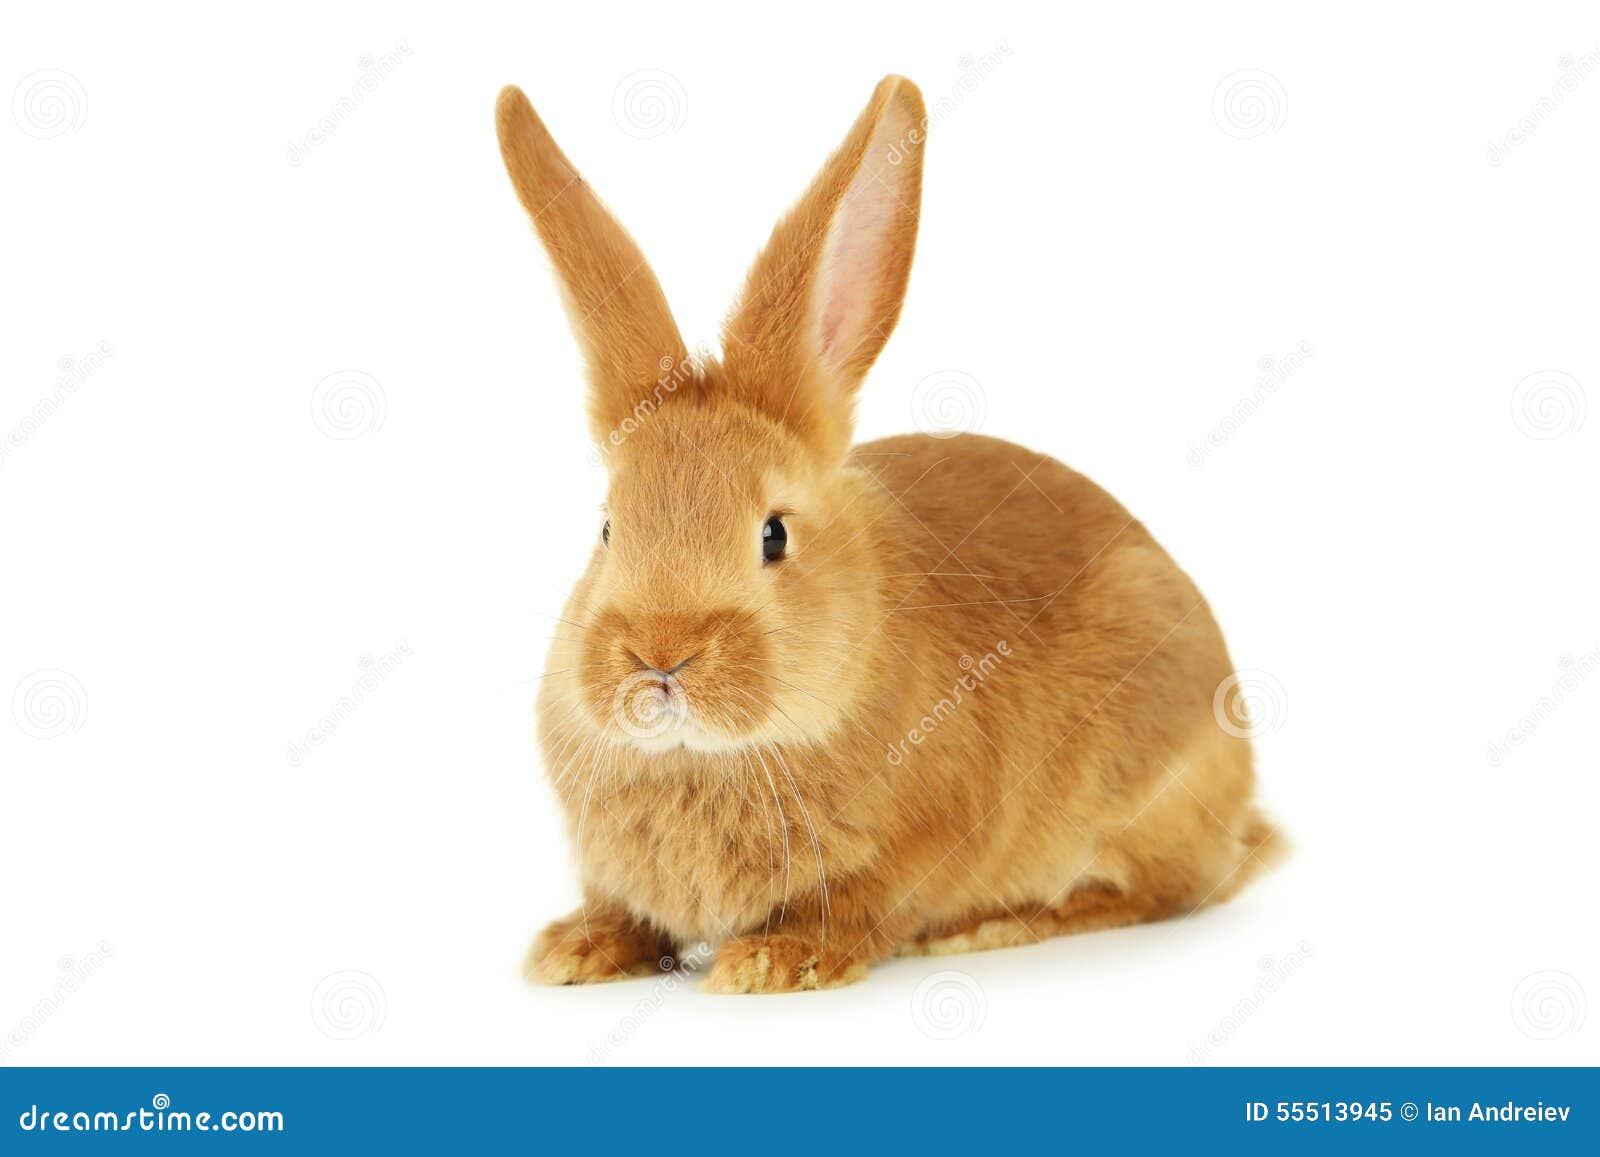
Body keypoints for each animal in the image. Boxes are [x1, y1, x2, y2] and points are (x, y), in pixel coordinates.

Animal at [496, 75, 1283, 994]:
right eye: (608, 527)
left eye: (773, 535)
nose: (661, 653)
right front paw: (572, 949)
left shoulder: (920, 840)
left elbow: (858, 905)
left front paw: (772, 961)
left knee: (1159, 889)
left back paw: (994, 925)